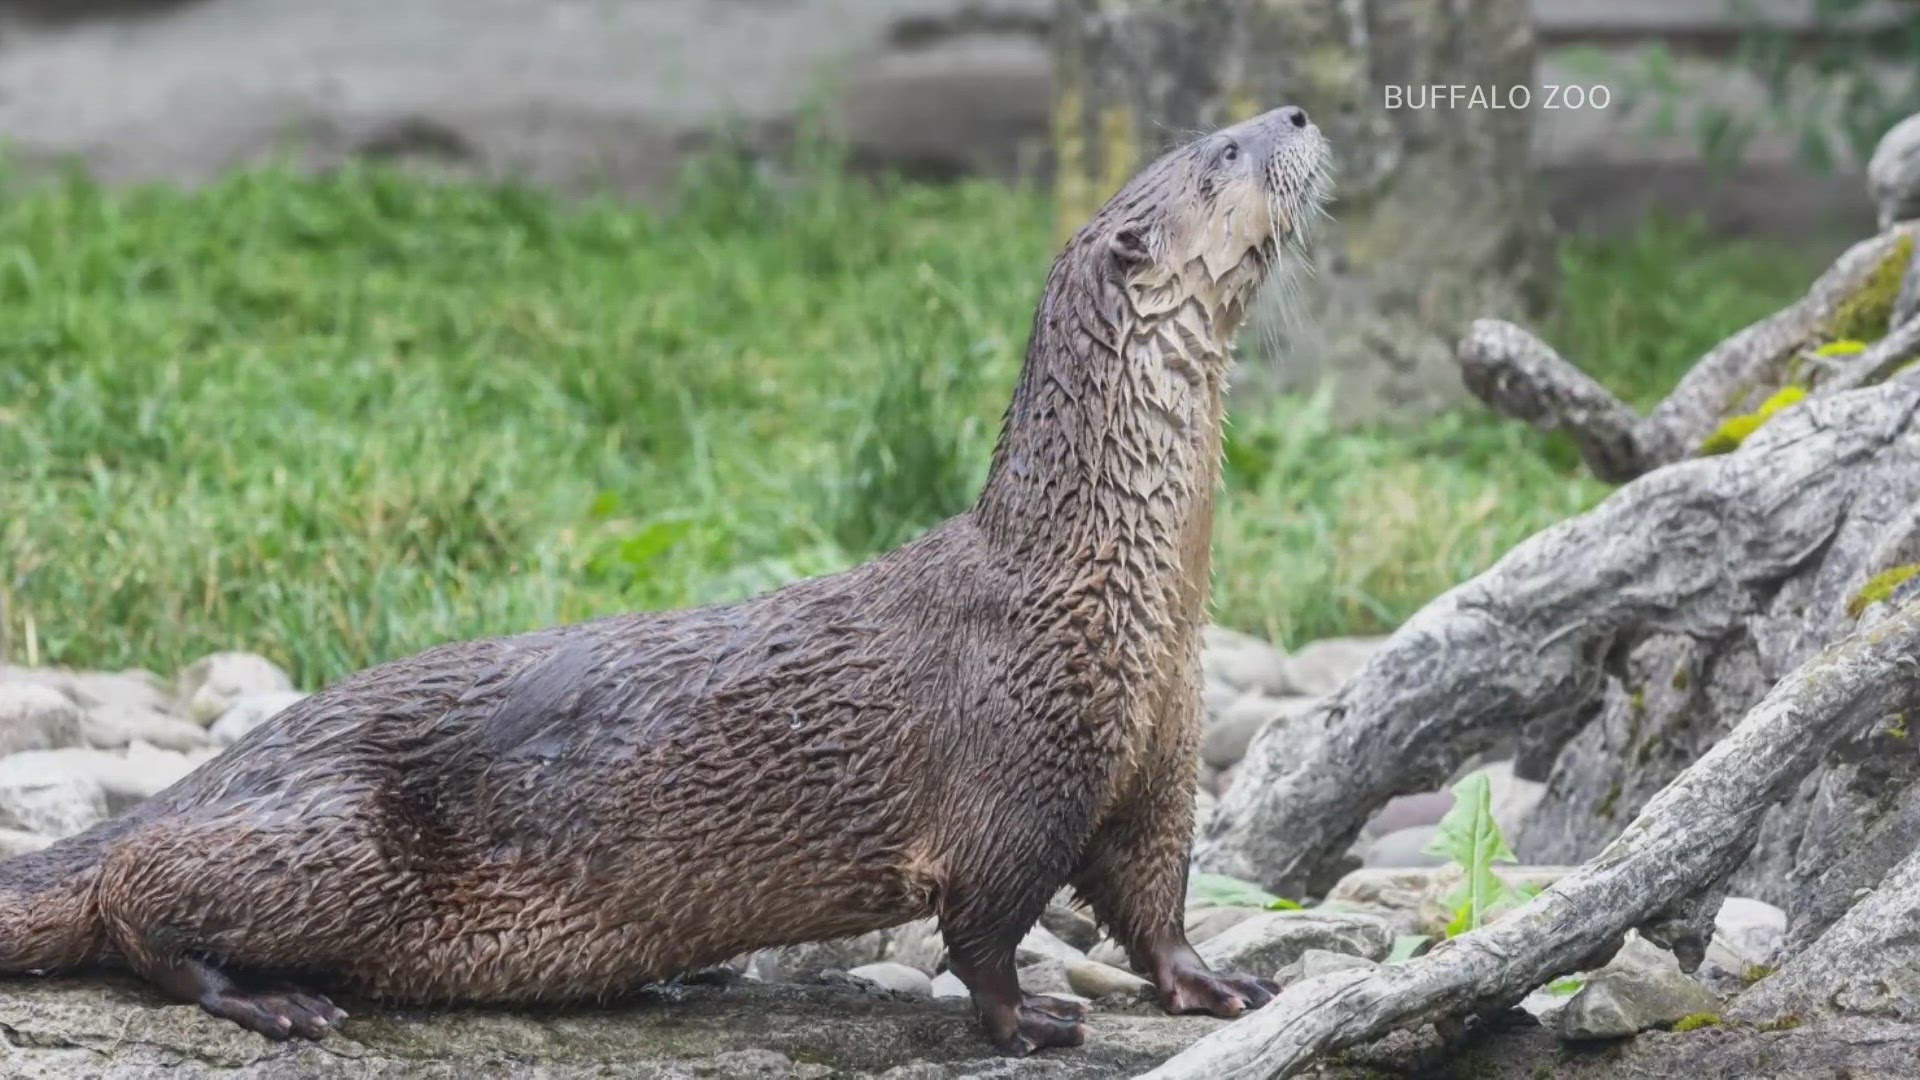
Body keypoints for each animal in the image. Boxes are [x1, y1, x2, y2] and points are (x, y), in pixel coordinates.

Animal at [0, 105, 1330, 1055]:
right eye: (1222, 150)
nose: (1301, 110)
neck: (1104, 582)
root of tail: (239, 760)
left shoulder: (1154, 756)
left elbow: (1152, 896)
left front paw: (1217, 982)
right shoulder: (1017, 768)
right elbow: (987, 934)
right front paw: (1033, 1021)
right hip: (335, 849)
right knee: (135, 892)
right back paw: (270, 1000)